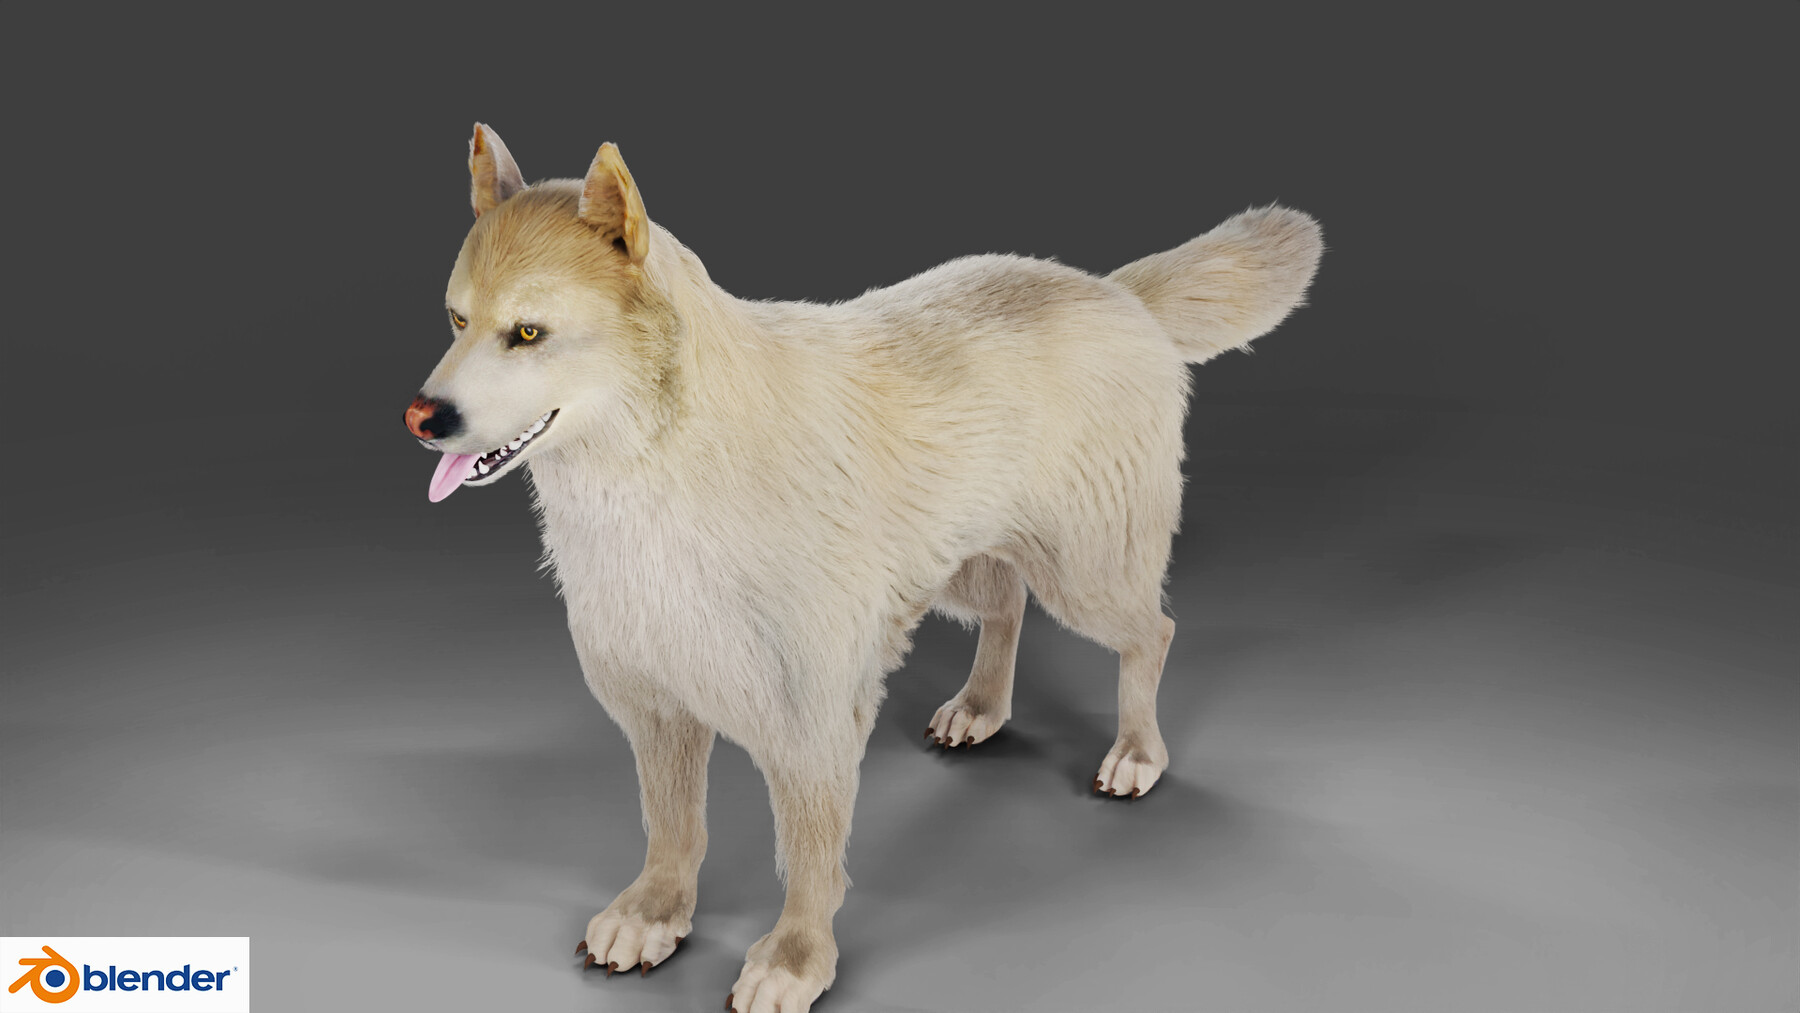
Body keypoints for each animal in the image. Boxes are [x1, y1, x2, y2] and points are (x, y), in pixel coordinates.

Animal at [403, 123, 1322, 1012]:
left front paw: (796, 959)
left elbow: (810, 858)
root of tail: (1115, 292)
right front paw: (655, 910)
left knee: (1151, 632)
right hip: (958, 563)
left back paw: (1136, 749)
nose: (421, 417)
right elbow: (672, 826)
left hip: (1086, 570)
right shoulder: (658, 706)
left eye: (528, 332)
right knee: (1007, 602)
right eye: (455, 320)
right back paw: (981, 706)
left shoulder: (813, 719)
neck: (660, 473)